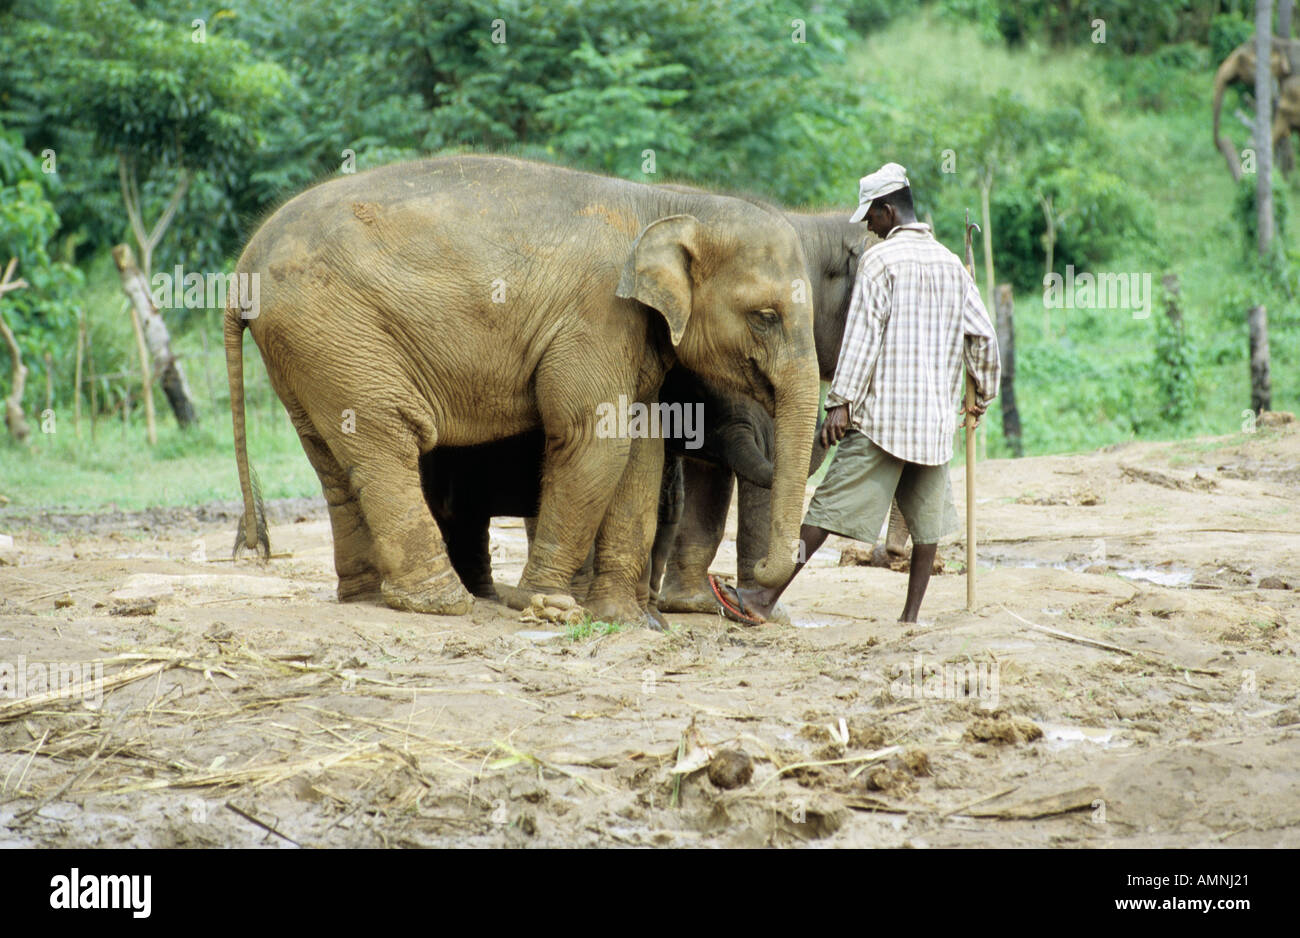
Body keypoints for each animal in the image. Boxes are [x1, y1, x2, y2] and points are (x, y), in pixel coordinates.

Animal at [224, 155, 821, 627]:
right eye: (765, 316)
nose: (738, 587)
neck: (668, 202)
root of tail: (242, 266)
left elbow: (641, 451)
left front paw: (623, 621)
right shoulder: (597, 315)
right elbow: (595, 437)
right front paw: (545, 605)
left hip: (307, 348)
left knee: (331, 457)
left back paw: (368, 597)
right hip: (335, 330)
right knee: (385, 436)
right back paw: (443, 604)